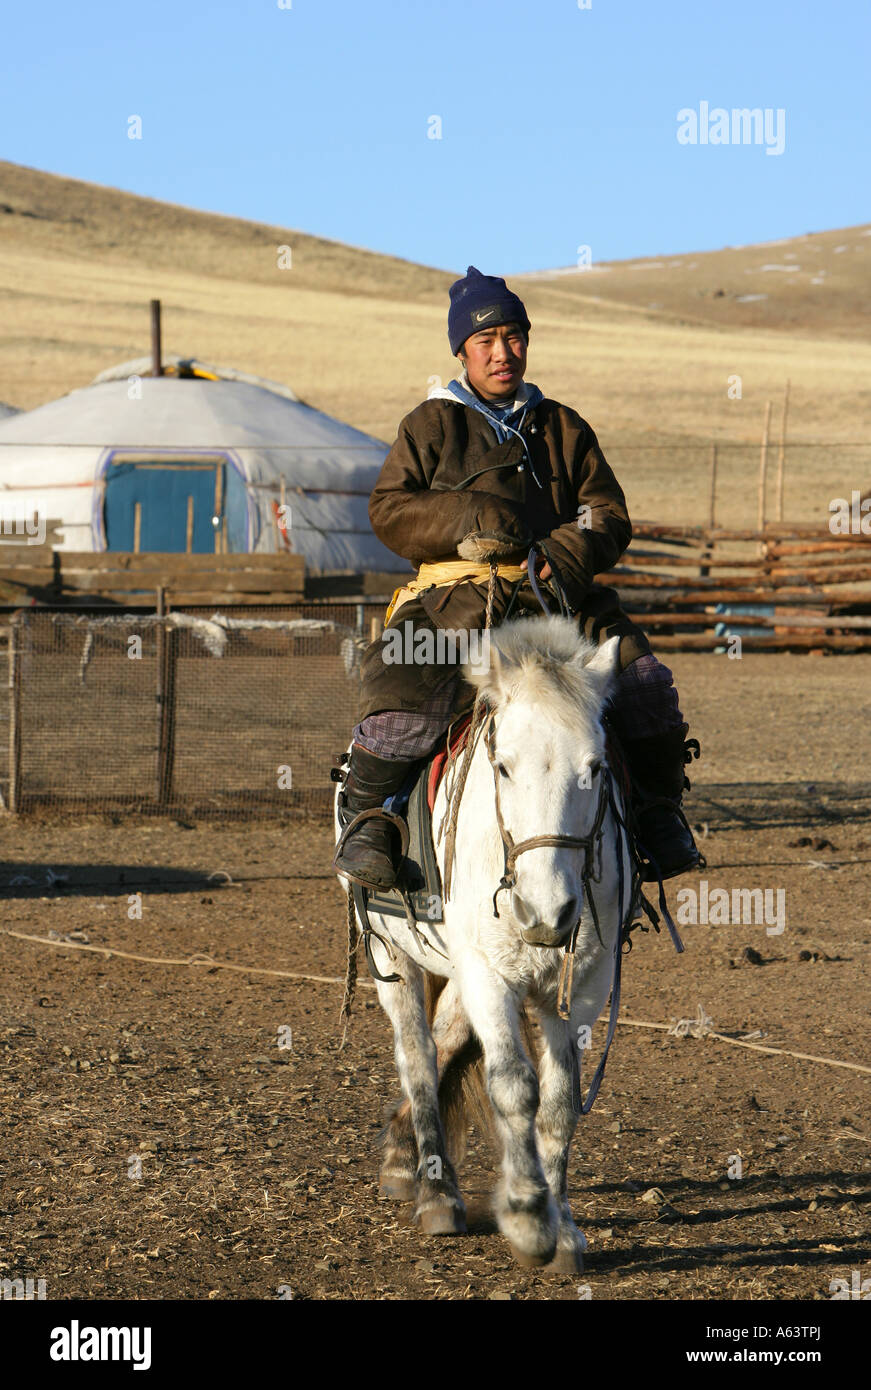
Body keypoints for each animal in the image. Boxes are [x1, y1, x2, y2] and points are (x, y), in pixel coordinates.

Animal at [335, 615, 634, 1272]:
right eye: (504, 768)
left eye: (596, 767)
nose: (545, 912)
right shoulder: (490, 977)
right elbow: (514, 1089)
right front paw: (527, 1217)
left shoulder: (584, 986)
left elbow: (559, 1102)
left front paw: (564, 1230)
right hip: (391, 957)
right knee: (419, 1057)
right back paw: (436, 1192)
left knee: (446, 1039)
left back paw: (403, 1159)